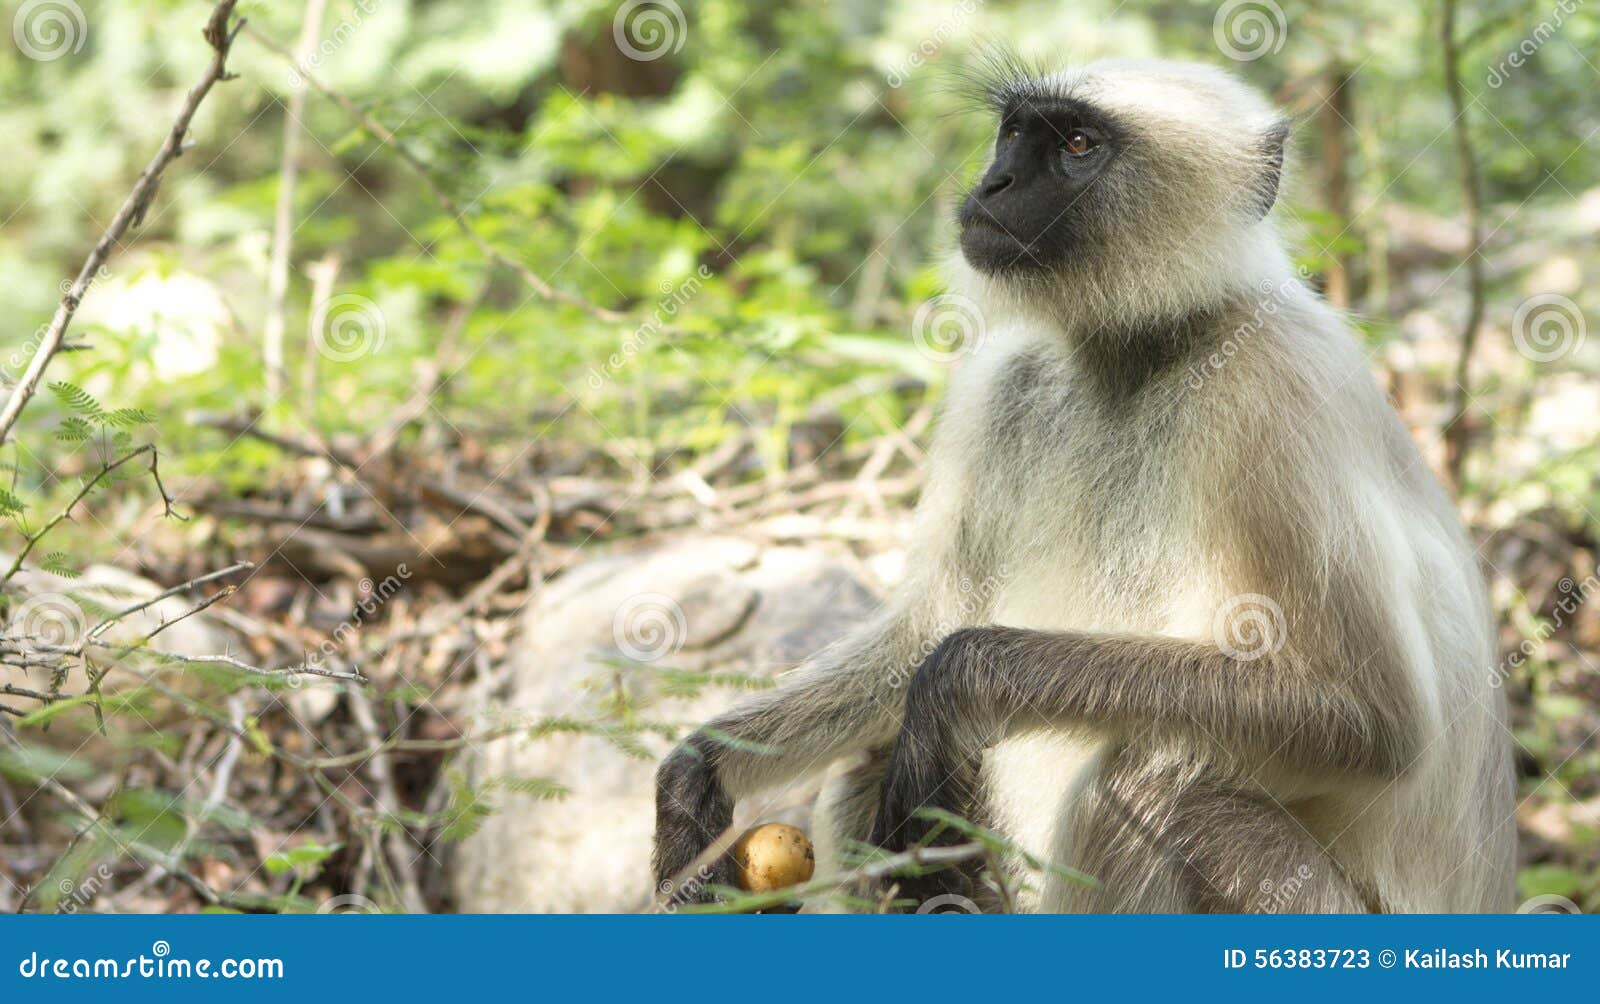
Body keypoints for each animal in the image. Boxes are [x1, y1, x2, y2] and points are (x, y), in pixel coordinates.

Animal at [654, 57, 1516, 913]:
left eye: (1076, 145)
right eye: (1012, 134)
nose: (994, 183)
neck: (1139, 353)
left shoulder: (1272, 384)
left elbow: (1373, 723)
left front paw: (953, 689)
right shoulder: (1005, 380)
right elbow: (923, 630)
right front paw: (696, 773)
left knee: (1151, 787)